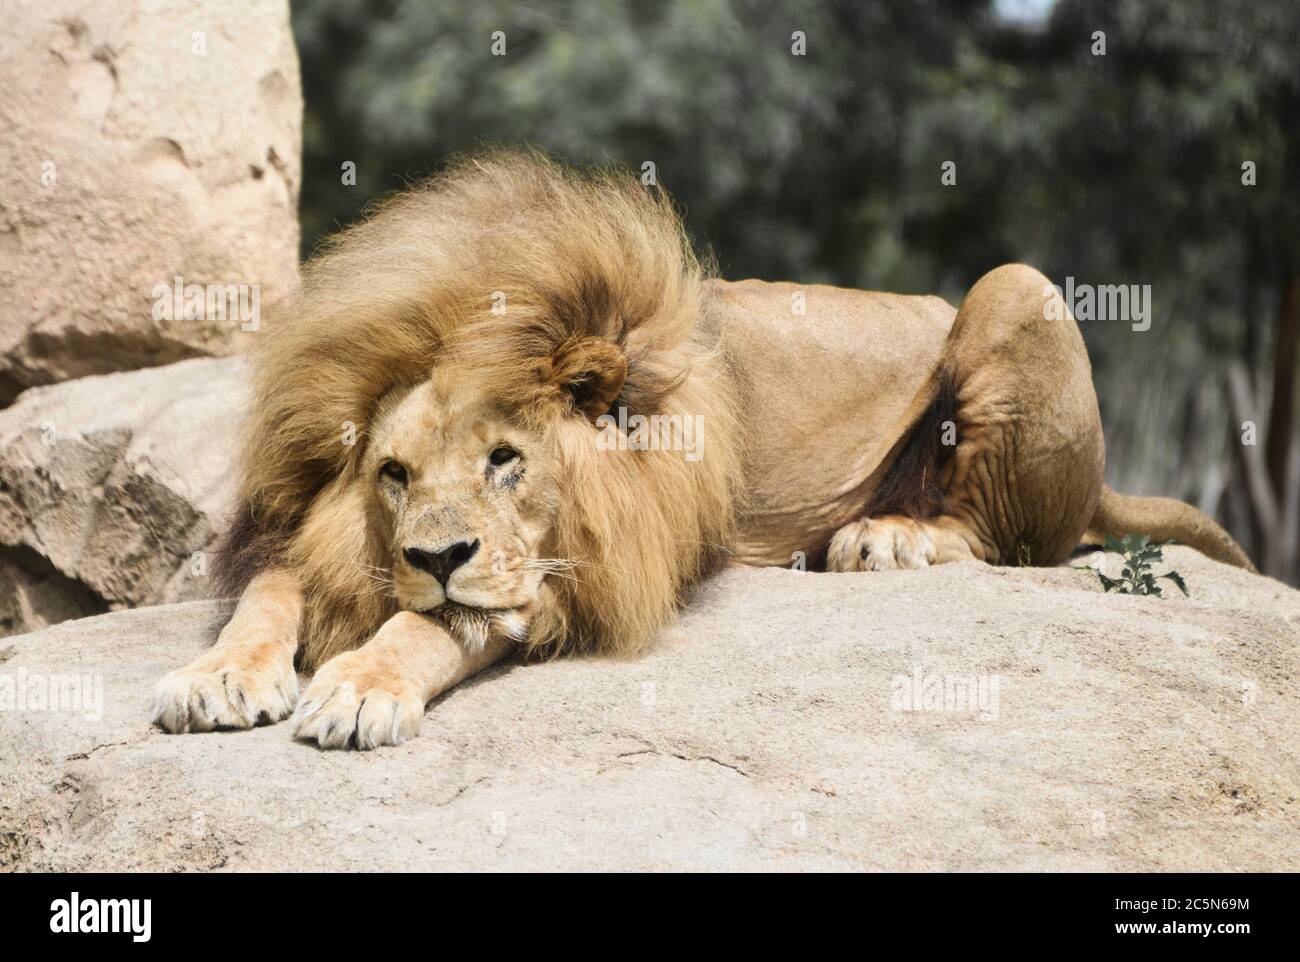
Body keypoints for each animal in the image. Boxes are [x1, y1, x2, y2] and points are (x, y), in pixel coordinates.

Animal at [152, 151, 1254, 749]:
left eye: (506, 458)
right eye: (393, 473)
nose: (433, 555)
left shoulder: (586, 569)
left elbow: (442, 622)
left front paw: (359, 685)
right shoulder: (312, 525)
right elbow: (272, 591)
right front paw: (219, 675)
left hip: (1017, 288)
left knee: (1015, 539)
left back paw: (889, 536)